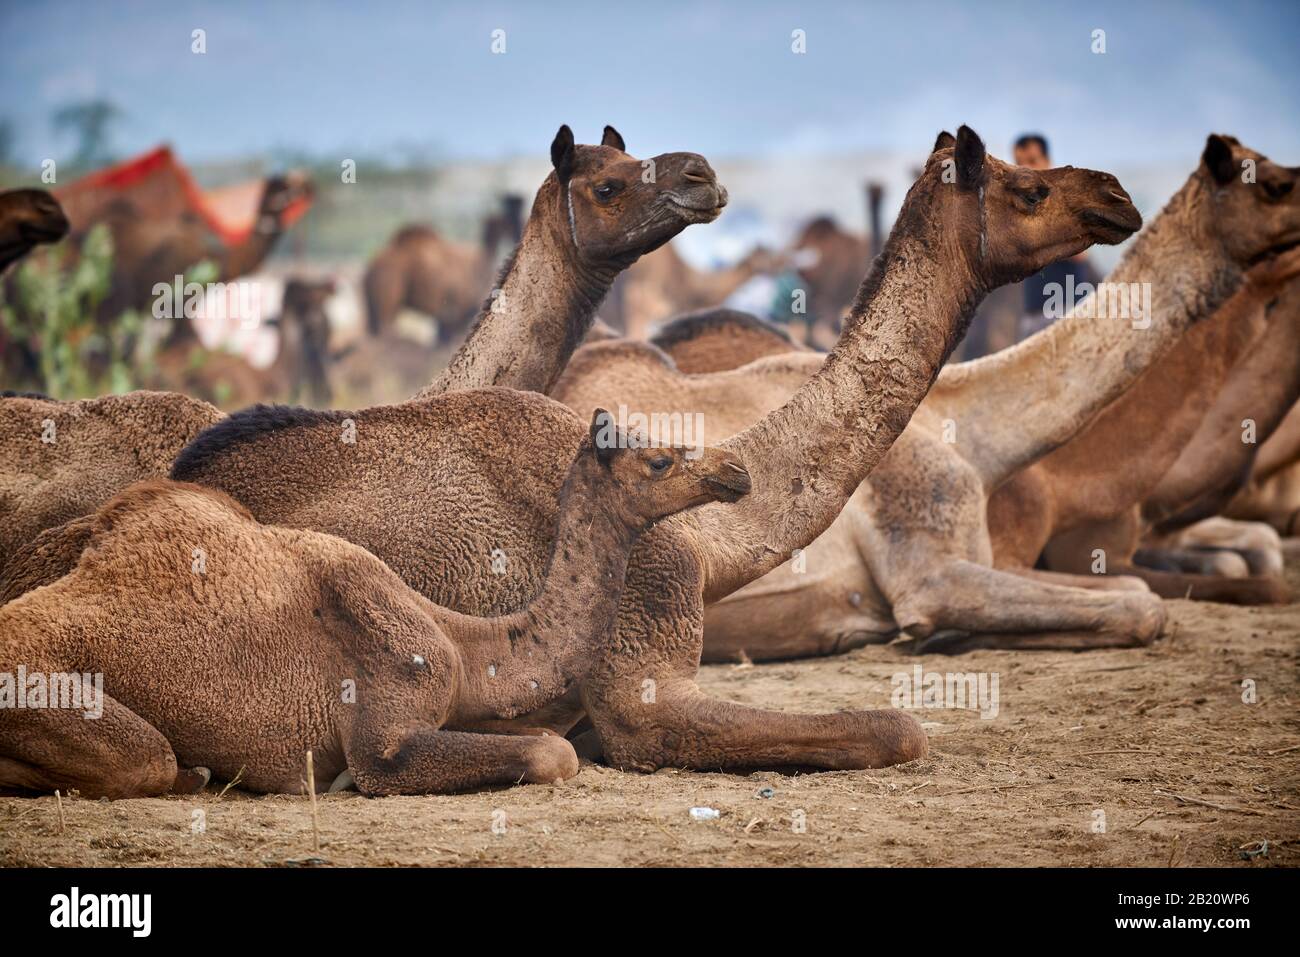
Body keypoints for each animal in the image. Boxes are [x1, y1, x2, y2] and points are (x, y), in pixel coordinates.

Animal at [0, 412, 752, 798]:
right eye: (659, 460)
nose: (734, 470)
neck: (468, 648)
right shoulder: (385, 733)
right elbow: (552, 753)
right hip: (36, 681)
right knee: (148, 762)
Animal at [582, 134, 1296, 658]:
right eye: (1031, 190)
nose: (1117, 193)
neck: (971, 434)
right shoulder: (931, 564)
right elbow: (1140, 603)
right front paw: (938, 634)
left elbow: (1132, 588)